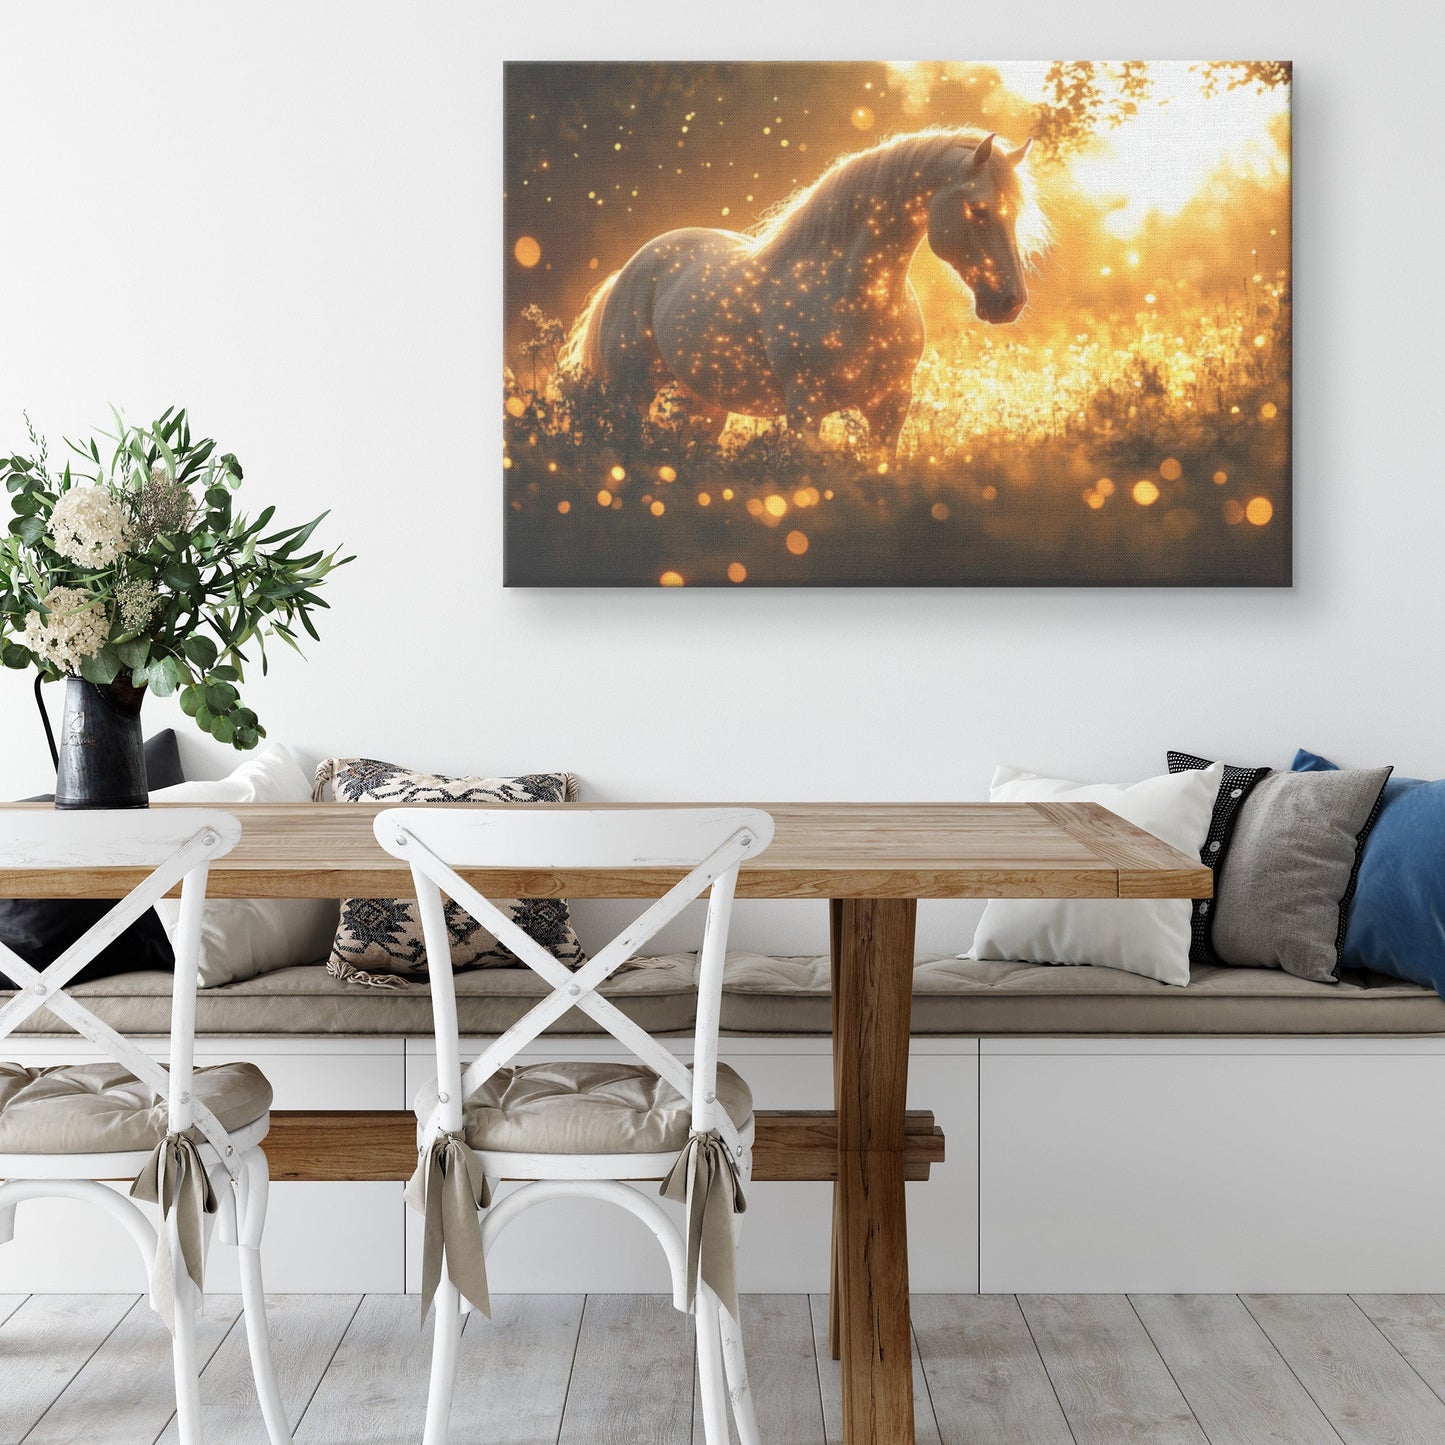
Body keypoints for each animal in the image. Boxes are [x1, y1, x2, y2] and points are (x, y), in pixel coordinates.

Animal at [564, 127, 1045, 453]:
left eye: (1015, 213)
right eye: (978, 209)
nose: (1010, 302)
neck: (854, 299)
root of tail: (631, 268)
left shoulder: (891, 409)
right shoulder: (805, 410)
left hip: (704, 404)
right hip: (631, 394)